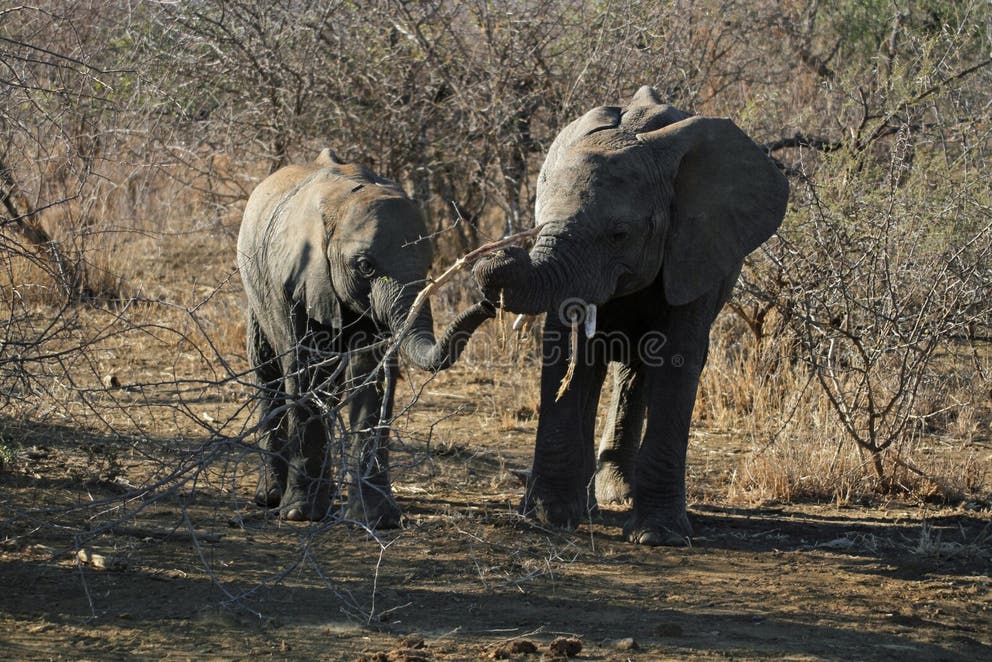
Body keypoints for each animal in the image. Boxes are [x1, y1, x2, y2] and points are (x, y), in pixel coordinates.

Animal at [237, 148, 495, 526]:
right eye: (365, 267)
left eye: (428, 266)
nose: (490, 300)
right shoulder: (294, 281)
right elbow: (302, 373)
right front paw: (301, 515)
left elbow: (368, 378)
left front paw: (378, 520)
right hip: (254, 284)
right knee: (268, 371)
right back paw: (270, 497)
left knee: (328, 387)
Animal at [473, 86, 789, 545]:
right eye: (539, 220)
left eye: (619, 235)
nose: (501, 253)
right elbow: (566, 354)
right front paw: (550, 516)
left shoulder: (697, 247)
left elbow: (678, 359)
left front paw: (657, 535)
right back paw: (593, 502)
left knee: (637, 366)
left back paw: (617, 496)